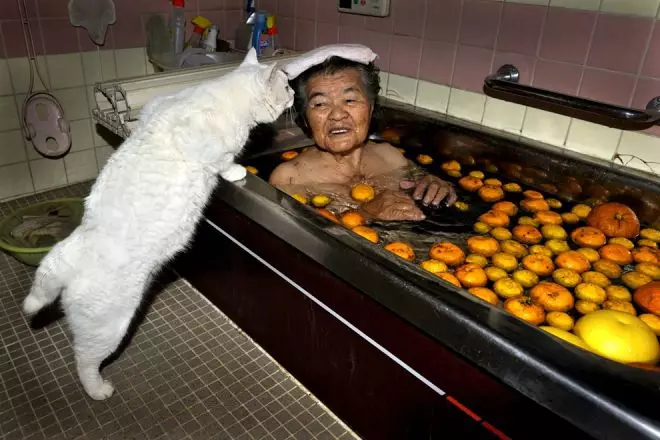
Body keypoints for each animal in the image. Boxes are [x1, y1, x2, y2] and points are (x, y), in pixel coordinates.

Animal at [22, 49, 294, 400]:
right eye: (286, 86)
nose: (295, 94)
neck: (225, 96)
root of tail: (68, 256)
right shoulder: (203, 145)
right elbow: (223, 162)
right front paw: (236, 171)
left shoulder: (156, 106)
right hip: (107, 327)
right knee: (83, 360)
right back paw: (99, 390)